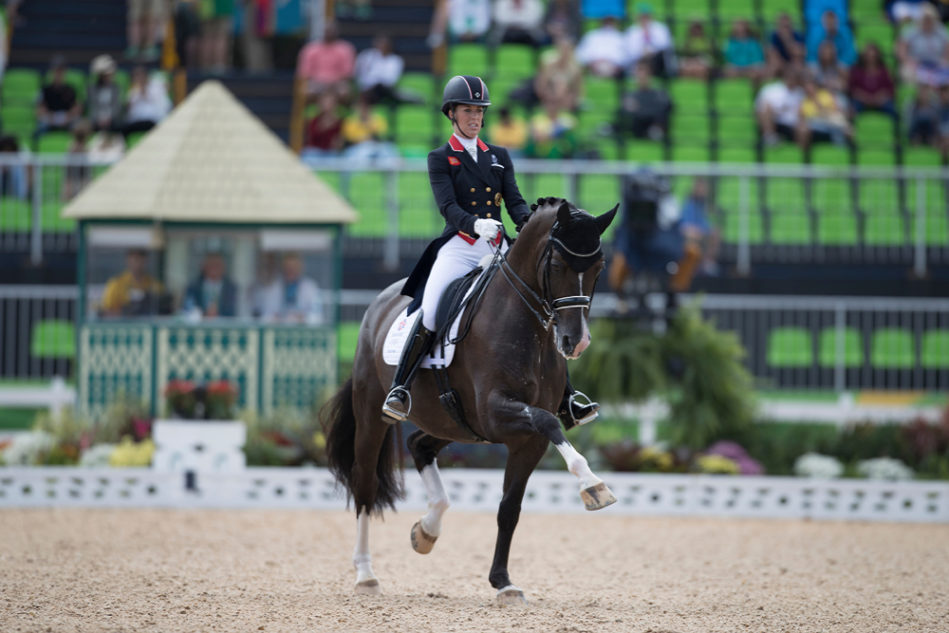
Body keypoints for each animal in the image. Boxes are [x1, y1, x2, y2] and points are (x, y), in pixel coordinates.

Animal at [321, 197, 618, 604]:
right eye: (557, 264)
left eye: (599, 267)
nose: (577, 342)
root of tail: (378, 305)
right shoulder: (497, 412)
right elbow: (548, 421)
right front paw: (593, 485)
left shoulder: (525, 441)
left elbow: (510, 509)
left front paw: (503, 582)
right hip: (372, 415)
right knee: (364, 484)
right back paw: (366, 574)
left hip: (452, 422)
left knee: (419, 445)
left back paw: (426, 530)